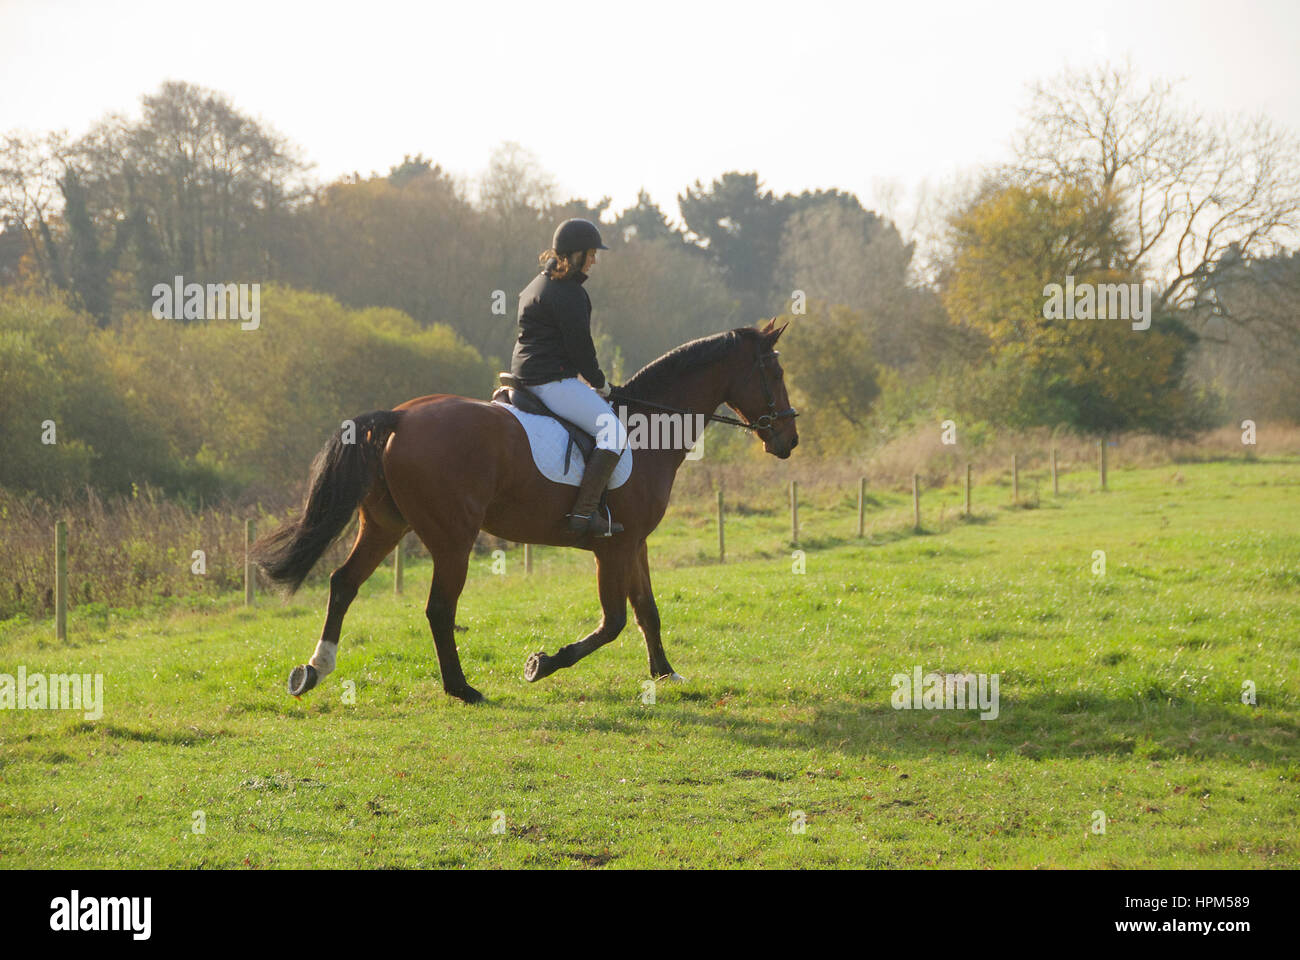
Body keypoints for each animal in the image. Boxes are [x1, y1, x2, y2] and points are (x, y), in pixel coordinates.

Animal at [251, 318, 798, 704]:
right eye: (774, 372)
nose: (789, 439)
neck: (648, 430)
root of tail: (400, 418)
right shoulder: (614, 548)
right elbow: (614, 622)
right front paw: (543, 663)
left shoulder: (634, 542)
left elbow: (648, 611)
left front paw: (664, 673)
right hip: (453, 538)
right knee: (439, 608)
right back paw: (462, 689)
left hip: (386, 524)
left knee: (343, 583)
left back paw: (314, 670)